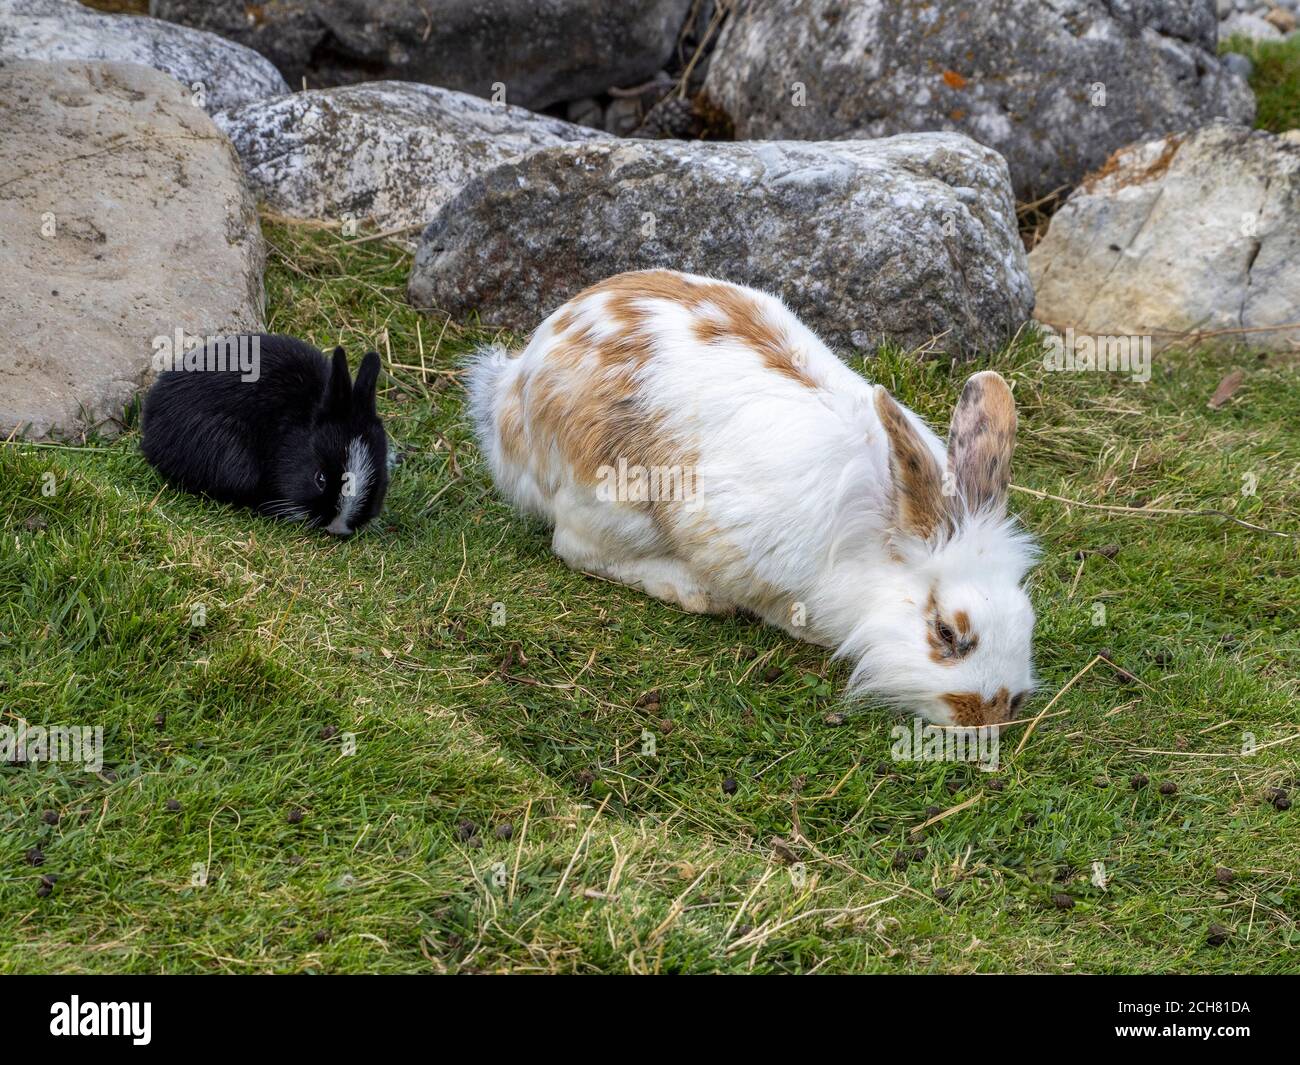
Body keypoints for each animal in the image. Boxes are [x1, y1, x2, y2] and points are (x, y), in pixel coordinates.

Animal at [466, 269, 1038, 726]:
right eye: (946, 633)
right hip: (610, 502)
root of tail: (513, 389)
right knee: (574, 548)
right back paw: (690, 589)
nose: (992, 716)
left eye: (1026, 619)